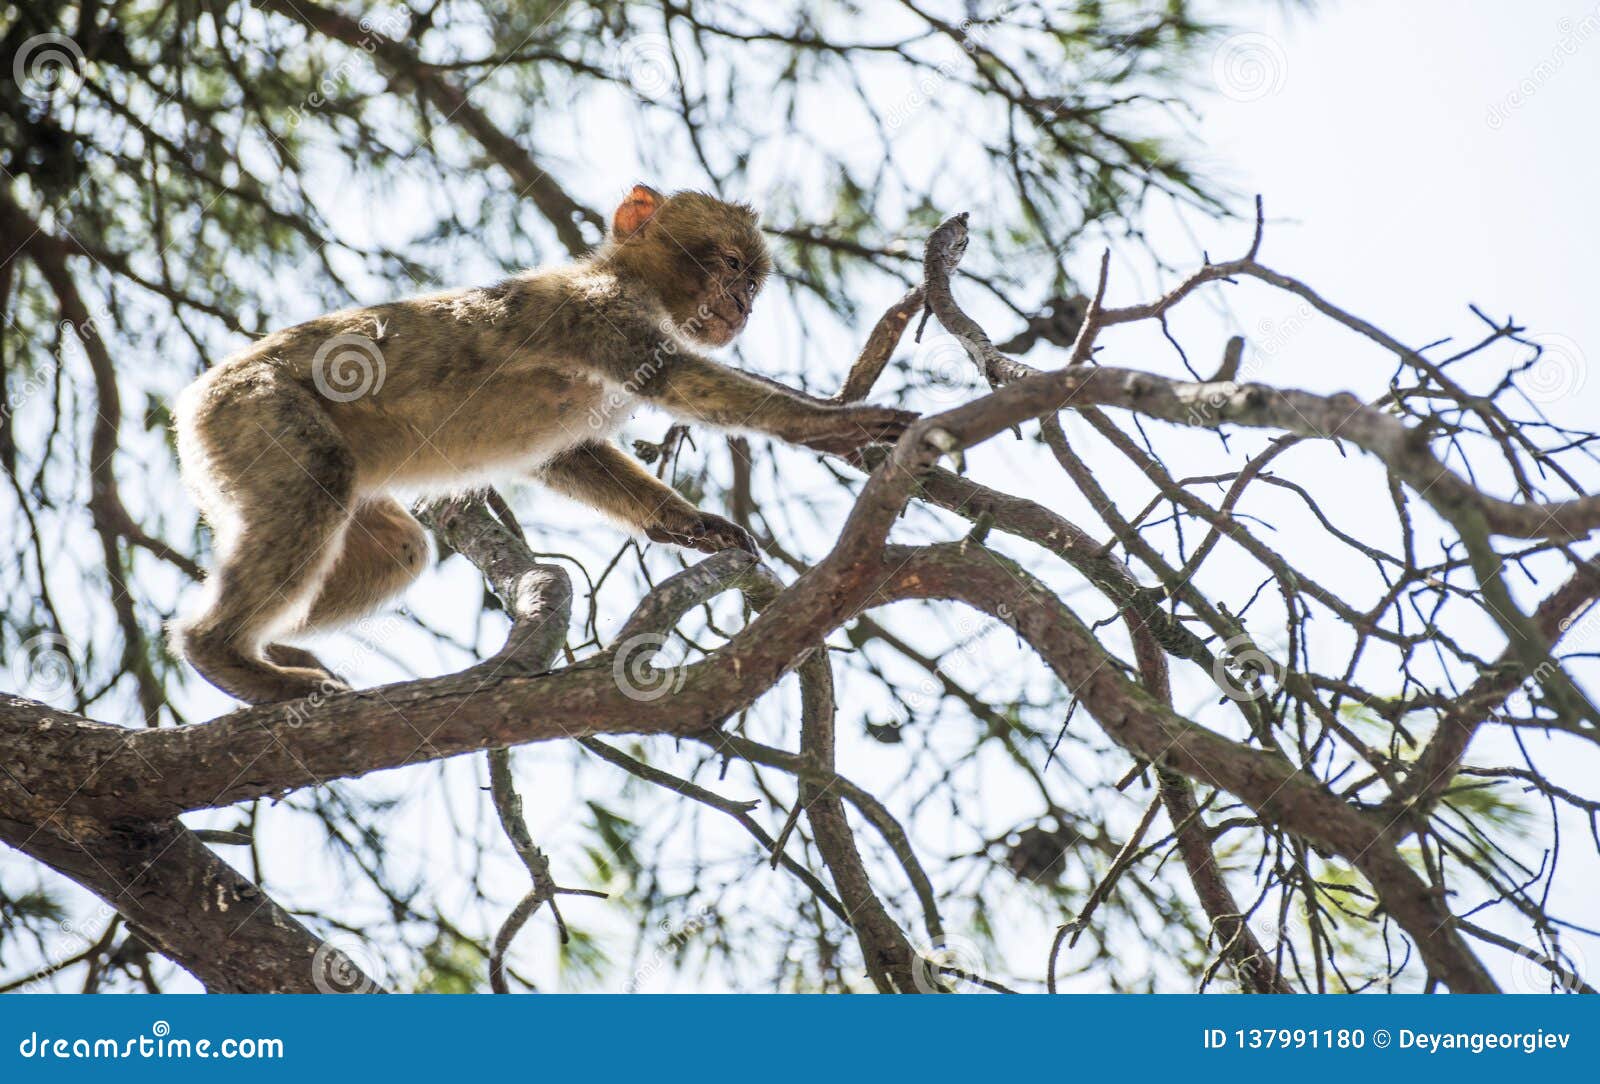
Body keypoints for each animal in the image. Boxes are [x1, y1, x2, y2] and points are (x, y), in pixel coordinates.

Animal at [171, 185, 917, 705]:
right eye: (731, 264)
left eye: (753, 281)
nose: (744, 306)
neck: (638, 283)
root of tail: (194, 398)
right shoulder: (600, 307)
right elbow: (673, 380)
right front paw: (829, 424)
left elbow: (568, 456)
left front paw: (686, 523)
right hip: (256, 410)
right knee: (320, 483)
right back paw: (220, 652)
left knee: (397, 551)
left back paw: (257, 648)